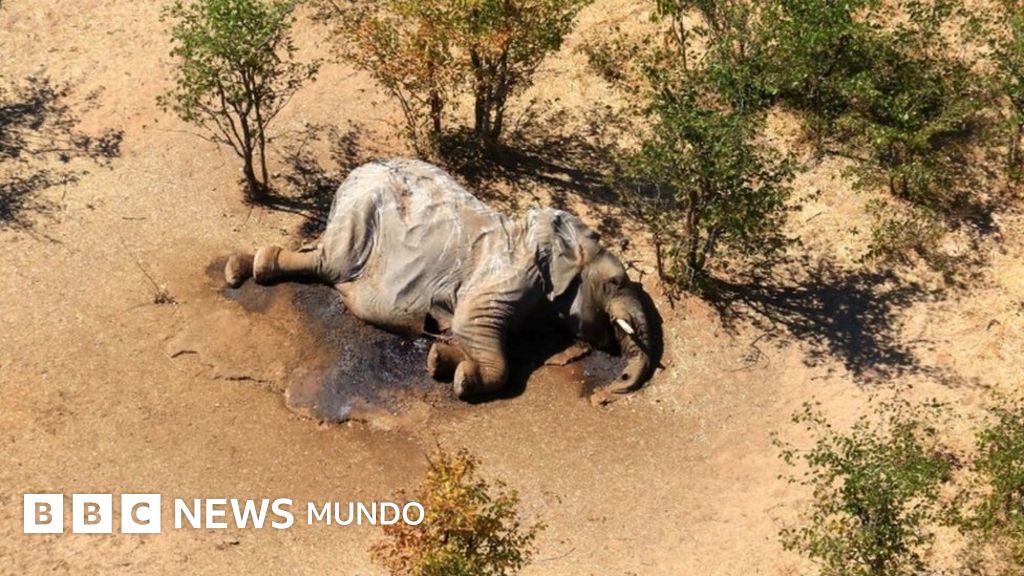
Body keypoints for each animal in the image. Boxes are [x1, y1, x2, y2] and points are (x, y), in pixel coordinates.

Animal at [225, 159, 658, 405]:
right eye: (616, 282)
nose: (607, 394)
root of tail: (355, 172)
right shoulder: (509, 275)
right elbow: (473, 326)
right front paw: (464, 380)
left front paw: (439, 360)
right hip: (360, 215)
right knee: (330, 264)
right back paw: (247, 268)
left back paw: (241, 267)